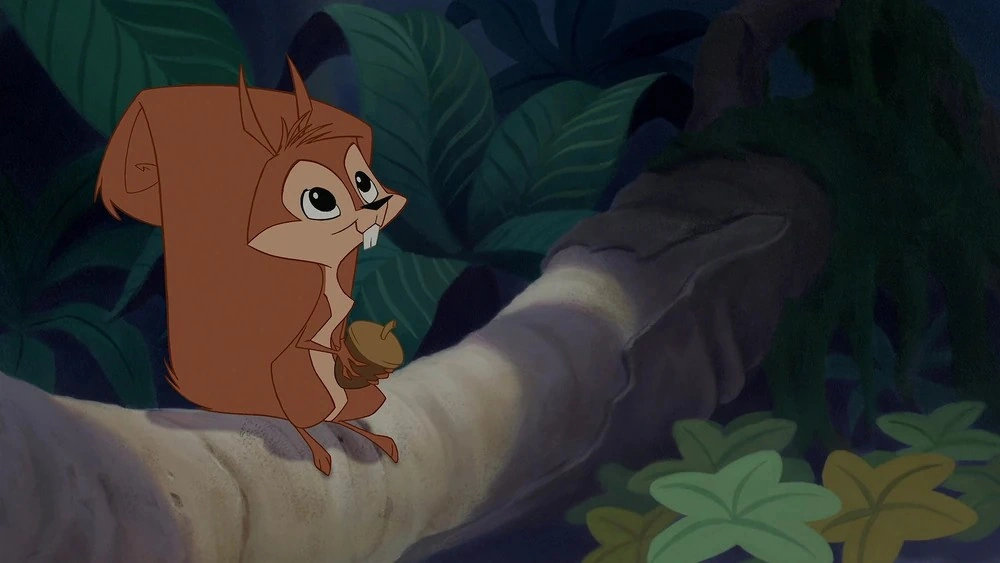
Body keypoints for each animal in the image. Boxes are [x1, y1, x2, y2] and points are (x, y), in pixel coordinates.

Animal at [95, 57, 408, 475]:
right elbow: (307, 341)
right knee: (302, 415)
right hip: (299, 389)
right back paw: (317, 445)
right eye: (320, 200)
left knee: (345, 411)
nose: (376, 205)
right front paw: (342, 356)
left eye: (364, 182)